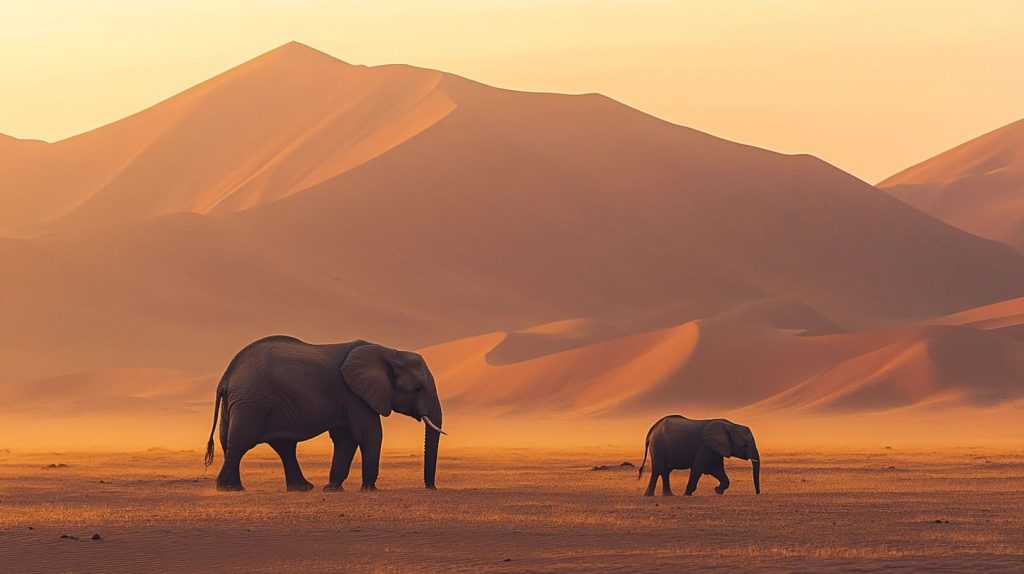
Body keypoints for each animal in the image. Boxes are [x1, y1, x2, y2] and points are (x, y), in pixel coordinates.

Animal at [203, 336, 445, 492]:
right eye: (418, 388)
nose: (430, 487)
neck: (390, 352)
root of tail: (227, 376)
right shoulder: (354, 394)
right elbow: (369, 434)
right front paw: (369, 488)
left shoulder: (348, 396)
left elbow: (346, 437)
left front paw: (333, 488)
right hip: (252, 403)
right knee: (241, 442)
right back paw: (227, 488)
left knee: (277, 445)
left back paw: (299, 488)